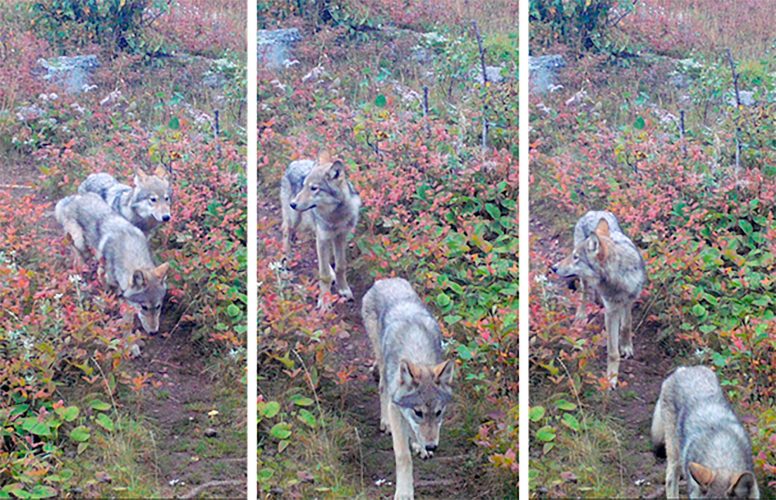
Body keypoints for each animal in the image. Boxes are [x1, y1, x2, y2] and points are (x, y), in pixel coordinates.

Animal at [55, 193, 170, 334]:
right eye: (144, 307)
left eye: (158, 306)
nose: (154, 333)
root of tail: (70, 199)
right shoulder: (104, 275)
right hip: (80, 243)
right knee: (78, 259)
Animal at [280, 151, 361, 309]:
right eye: (304, 186)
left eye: (314, 188)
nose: (293, 204)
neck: (336, 215)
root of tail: (294, 162)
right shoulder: (324, 237)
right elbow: (324, 275)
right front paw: (324, 301)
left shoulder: (340, 237)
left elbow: (340, 266)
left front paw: (344, 289)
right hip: (295, 220)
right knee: (286, 232)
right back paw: (288, 259)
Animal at [361, 278, 454, 500]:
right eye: (418, 412)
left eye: (439, 412)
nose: (432, 446)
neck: (416, 350)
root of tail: (385, 280)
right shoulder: (397, 409)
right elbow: (403, 456)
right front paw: (404, 492)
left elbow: (415, 431)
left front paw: (420, 446)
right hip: (382, 361)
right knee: (382, 388)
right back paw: (385, 422)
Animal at [551, 210, 645, 387]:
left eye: (576, 257)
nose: (553, 267)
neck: (617, 279)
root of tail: (594, 212)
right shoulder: (611, 312)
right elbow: (613, 352)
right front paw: (611, 379)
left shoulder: (629, 300)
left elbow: (626, 325)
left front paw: (626, 346)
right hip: (584, 280)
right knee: (584, 293)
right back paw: (581, 315)